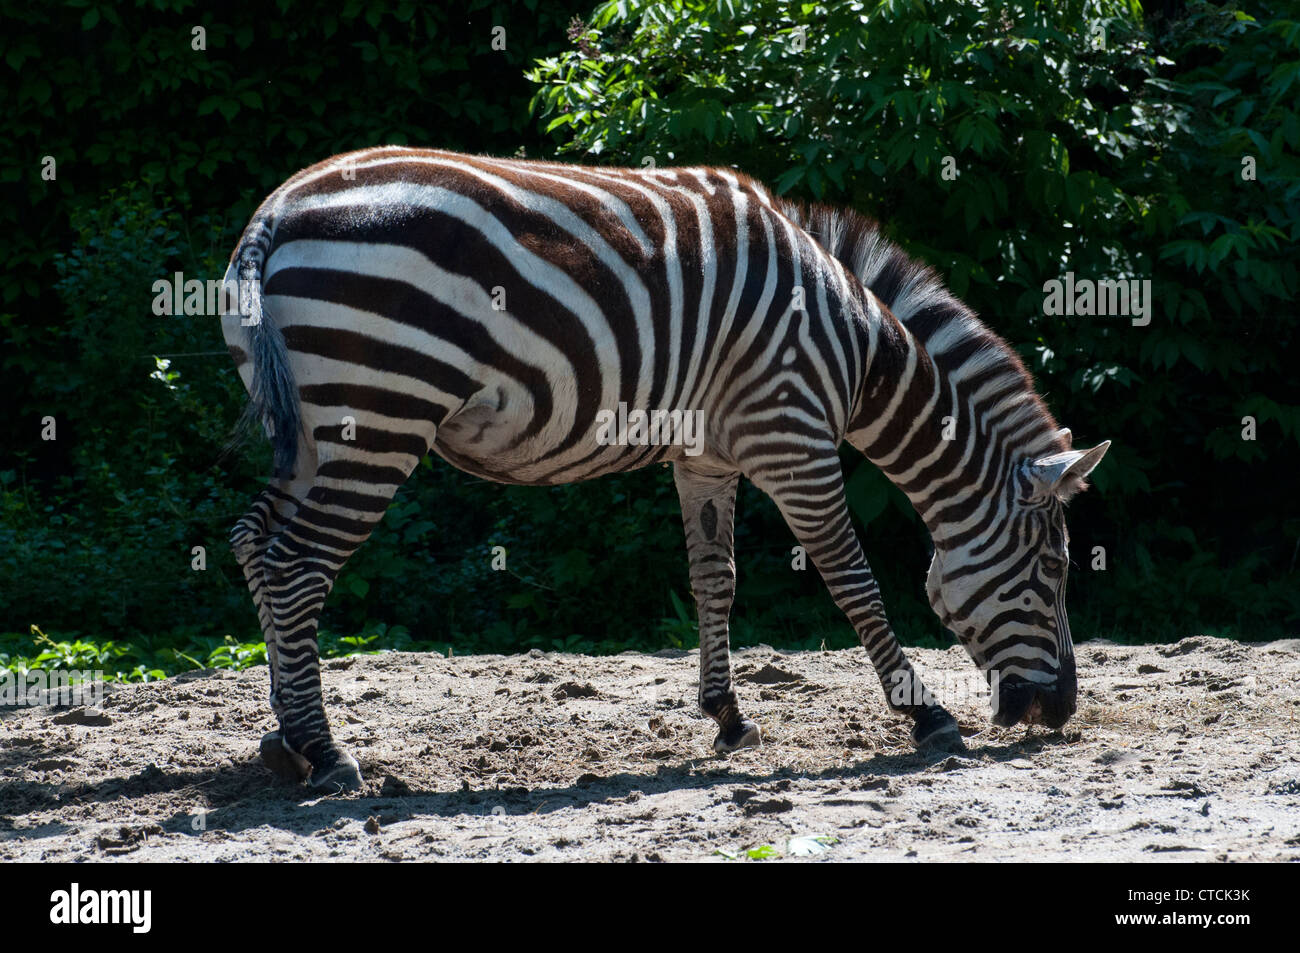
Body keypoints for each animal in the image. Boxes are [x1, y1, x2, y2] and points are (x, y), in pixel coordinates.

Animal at [220, 147, 1109, 792]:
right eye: (1054, 567)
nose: (1061, 712)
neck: (855, 352)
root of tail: (276, 211)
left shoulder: (706, 454)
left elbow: (715, 576)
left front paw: (728, 714)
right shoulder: (795, 438)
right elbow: (852, 578)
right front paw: (926, 717)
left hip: (313, 430)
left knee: (253, 541)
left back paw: (283, 736)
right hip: (377, 413)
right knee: (297, 566)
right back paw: (327, 752)